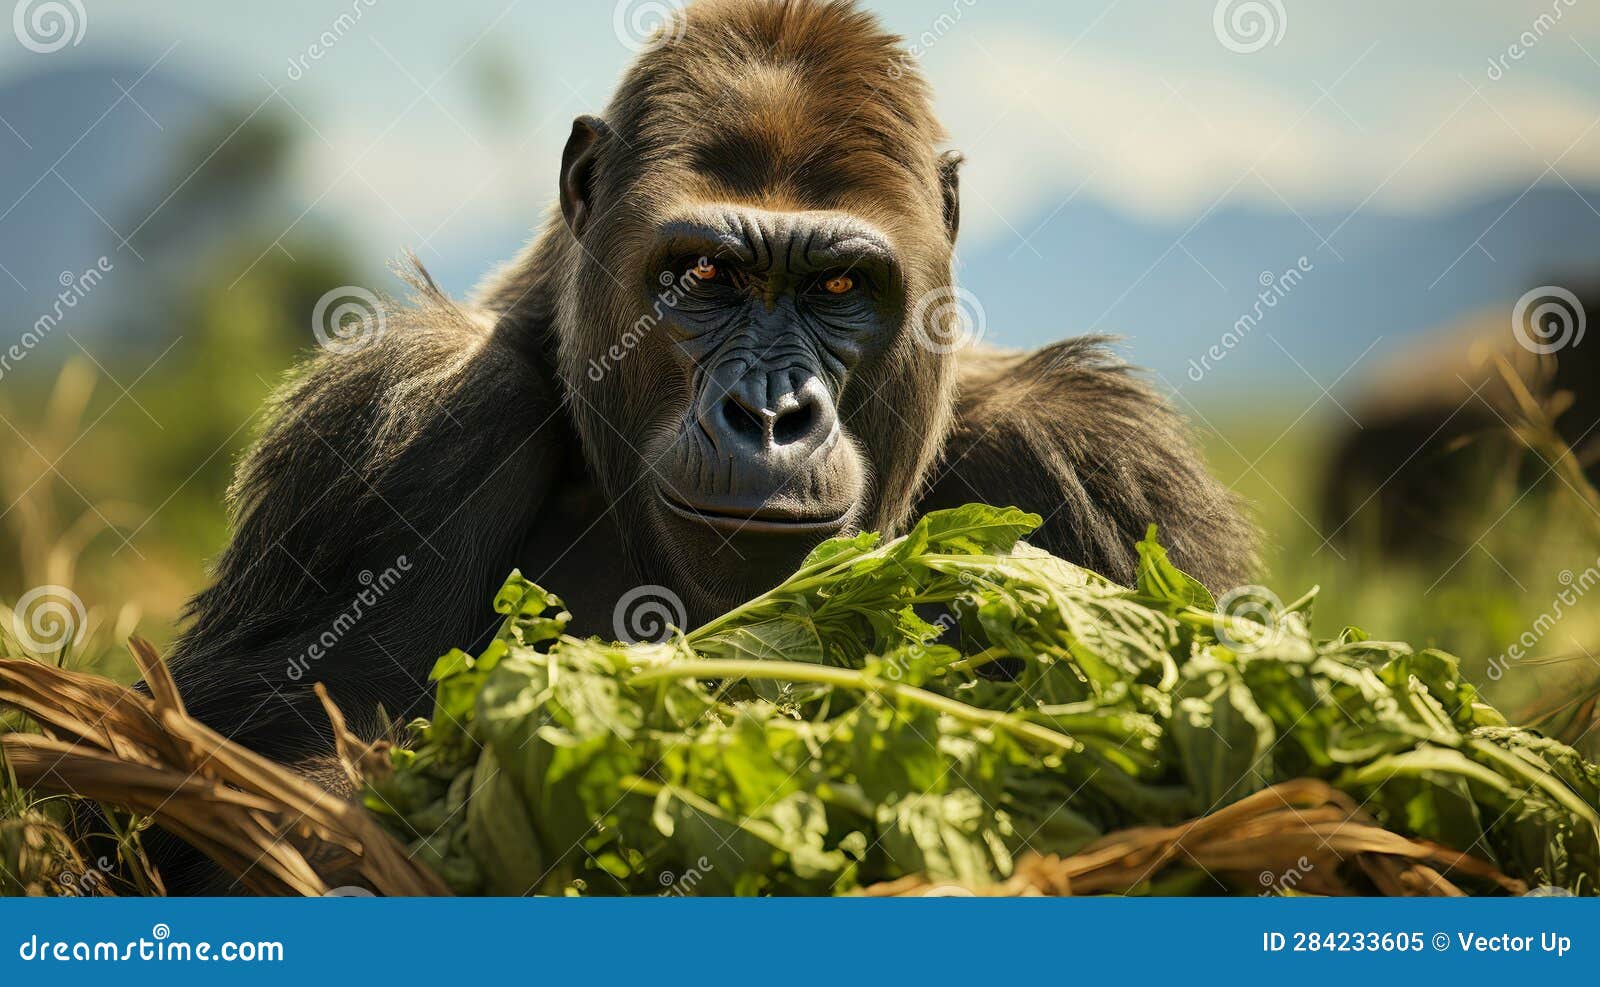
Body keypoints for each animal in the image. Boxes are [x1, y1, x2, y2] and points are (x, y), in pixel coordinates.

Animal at [146, 0, 1256, 892]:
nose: (767, 413)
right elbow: (252, 788)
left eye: (838, 286)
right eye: (705, 276)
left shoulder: (1095, 463)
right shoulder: (400, 428)